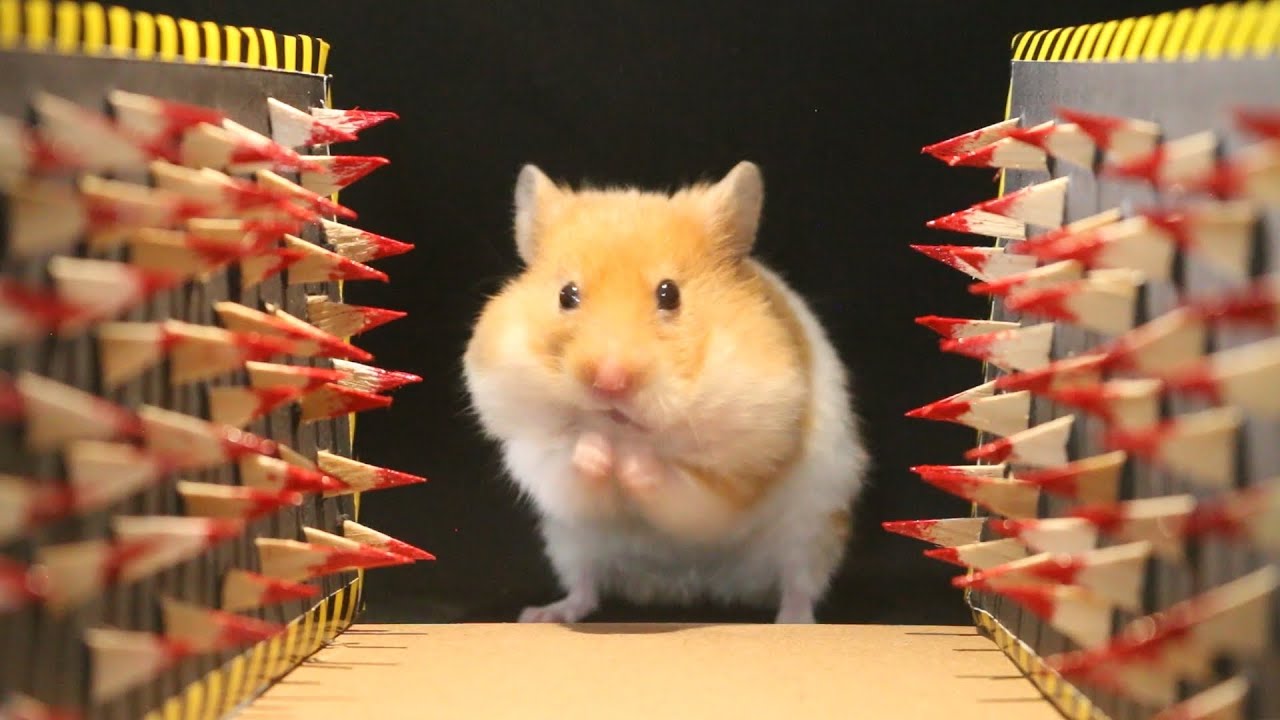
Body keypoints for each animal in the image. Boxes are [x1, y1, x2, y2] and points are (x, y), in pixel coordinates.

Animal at [462, 161, 868, 623]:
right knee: (585, 590)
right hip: (570, 545)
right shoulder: (534, 449)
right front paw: (598, 452)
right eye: (567, 295)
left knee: (798, 587)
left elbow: (685, 490)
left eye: (669, 293)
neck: (626, 428)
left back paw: (791, 623)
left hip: (814, 532)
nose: (609, 380)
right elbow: (568, 467)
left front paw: (633, 463)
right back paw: (542, 614)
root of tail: (682, 587)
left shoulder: (750, 461)